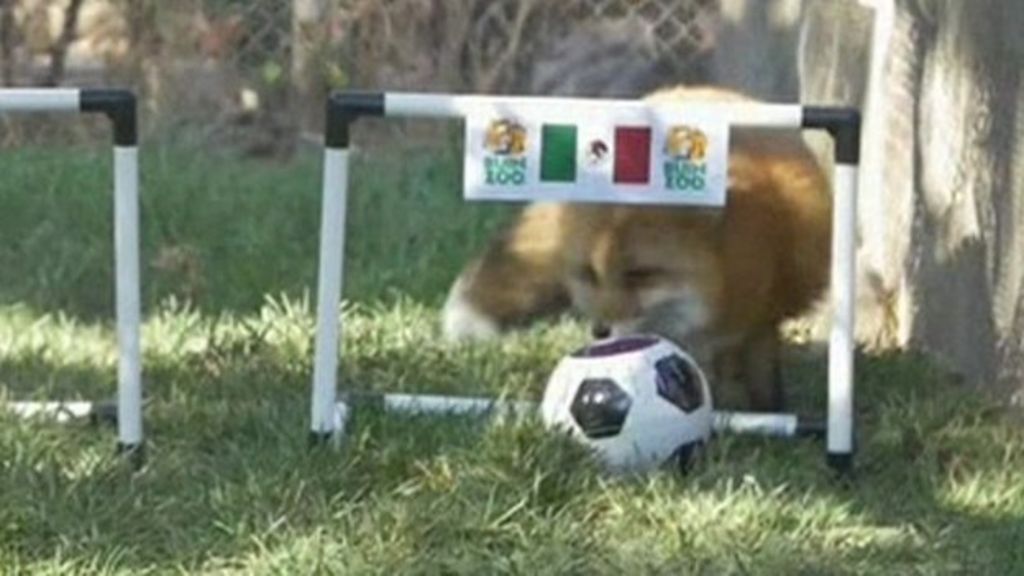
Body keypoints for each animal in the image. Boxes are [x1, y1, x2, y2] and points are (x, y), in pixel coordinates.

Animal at [442, 86, 833, 411]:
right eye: (590, 273)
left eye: (640, 274)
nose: (599, 332)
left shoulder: (764, 319)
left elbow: (763, 382)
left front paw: (765, 412)